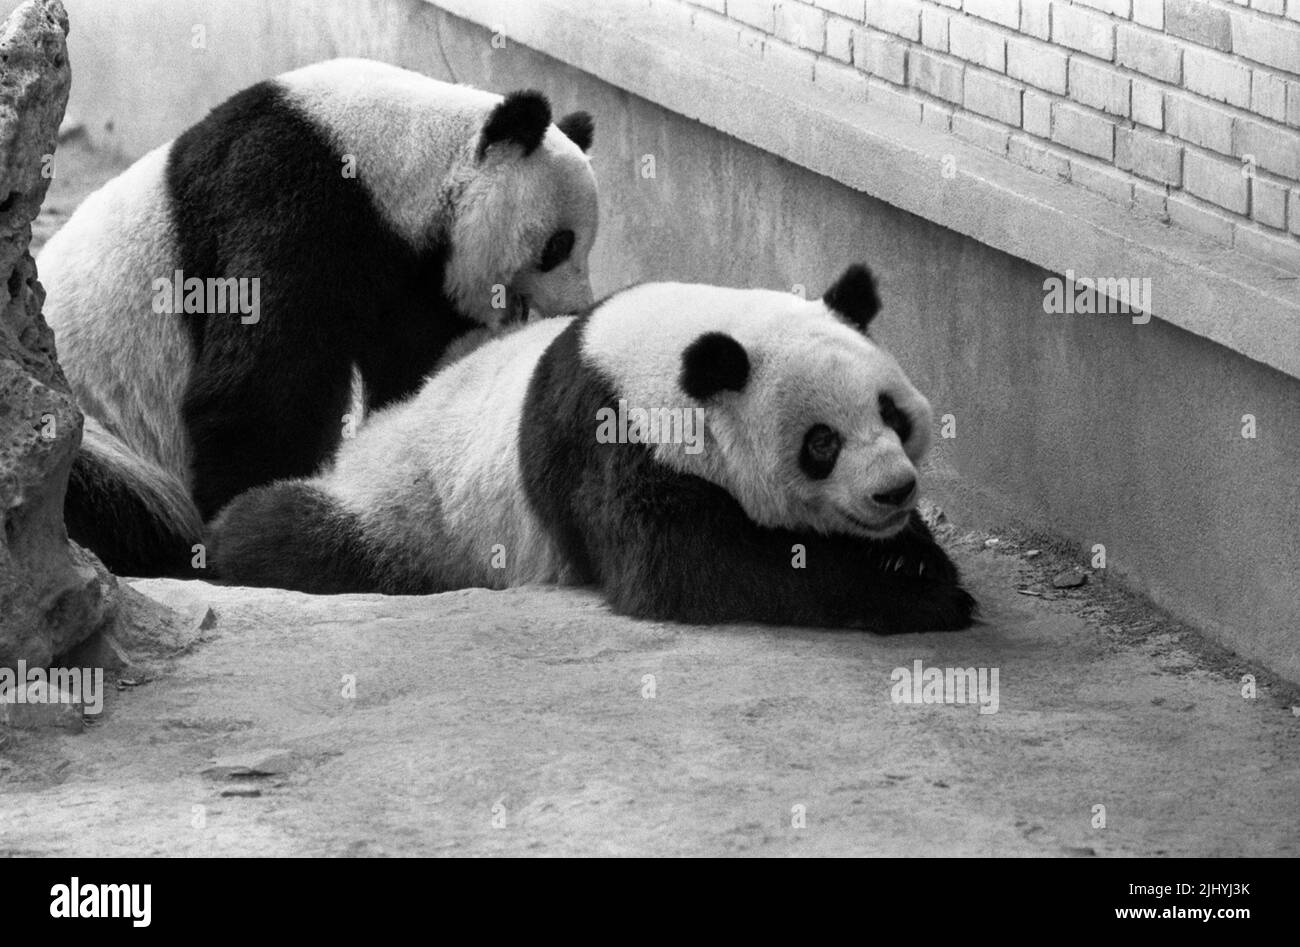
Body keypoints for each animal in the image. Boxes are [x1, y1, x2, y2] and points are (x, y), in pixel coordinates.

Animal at [37, 58, 598, 577]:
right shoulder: (284, 196)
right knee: (88, 491)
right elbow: (260, 388)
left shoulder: (403, 276)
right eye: (559, 244)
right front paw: (242, 506)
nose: (577, 307)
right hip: (100, 430)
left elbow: (409, 369)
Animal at [209, 264, 976, 633]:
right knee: (285, 532)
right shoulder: (611, 442)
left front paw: (914, 558)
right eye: (821, 442)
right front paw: (920, 595)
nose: (894, 490)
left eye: (890, 412)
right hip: (414, 513)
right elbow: (688, 568)